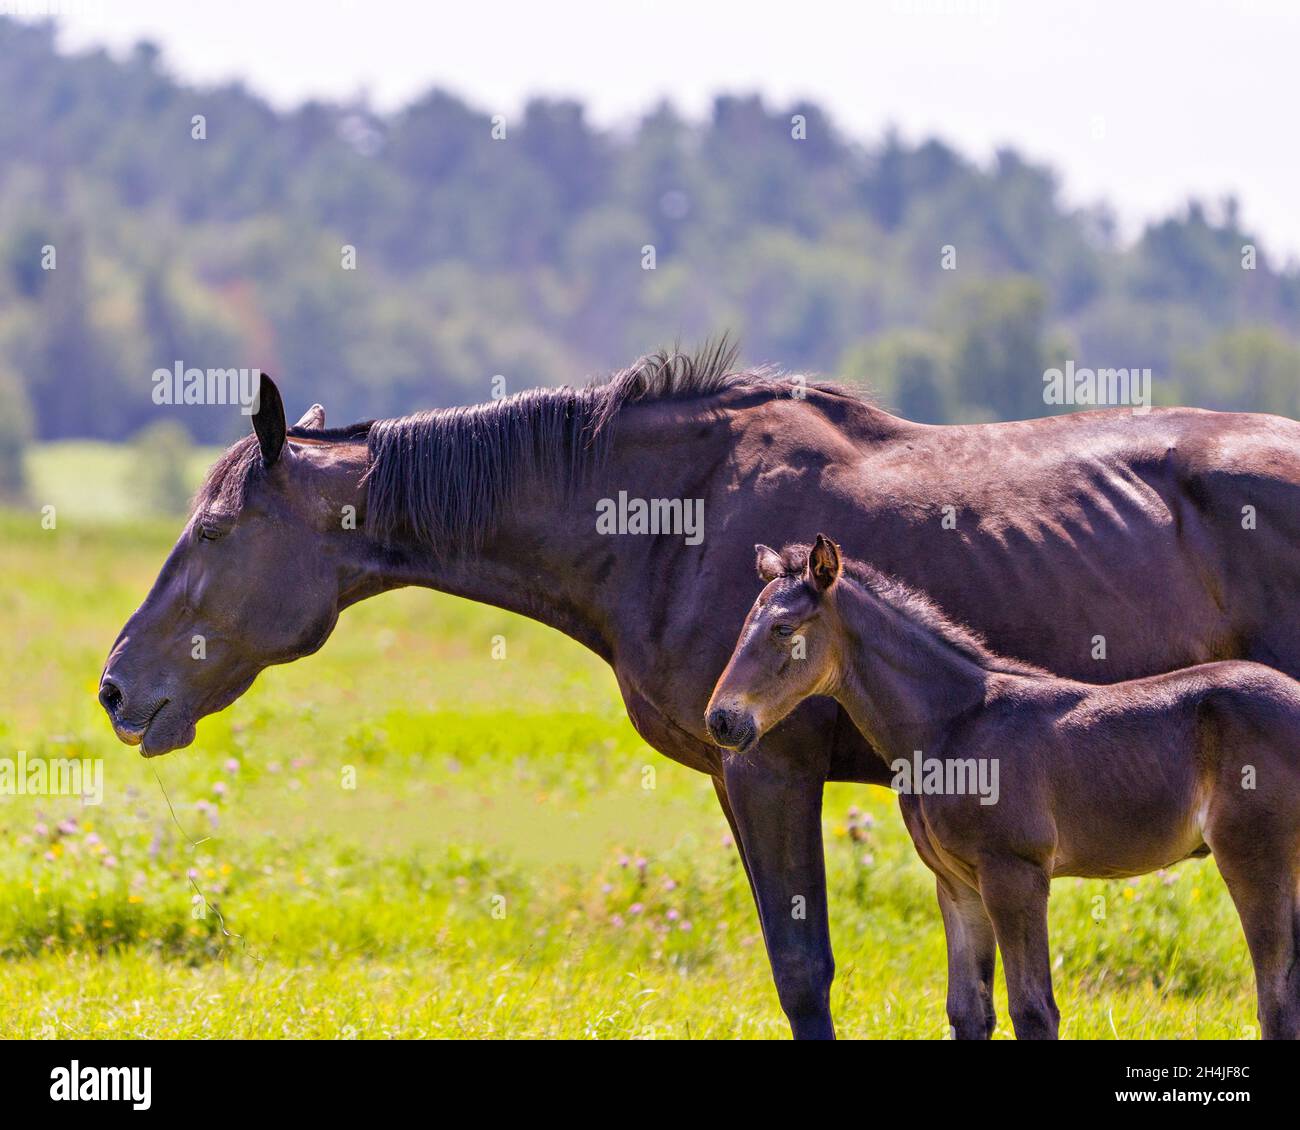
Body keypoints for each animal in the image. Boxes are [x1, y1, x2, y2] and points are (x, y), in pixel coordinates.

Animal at [707, 535, 1300, 1039]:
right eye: (744, 624)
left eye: (784, 629)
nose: (722, 720)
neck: (952, 723)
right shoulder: (957, 884)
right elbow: (969, 1012)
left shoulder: (1014, 873)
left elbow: (1033, 1010)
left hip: (1254, 854)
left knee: (1277, 1000)